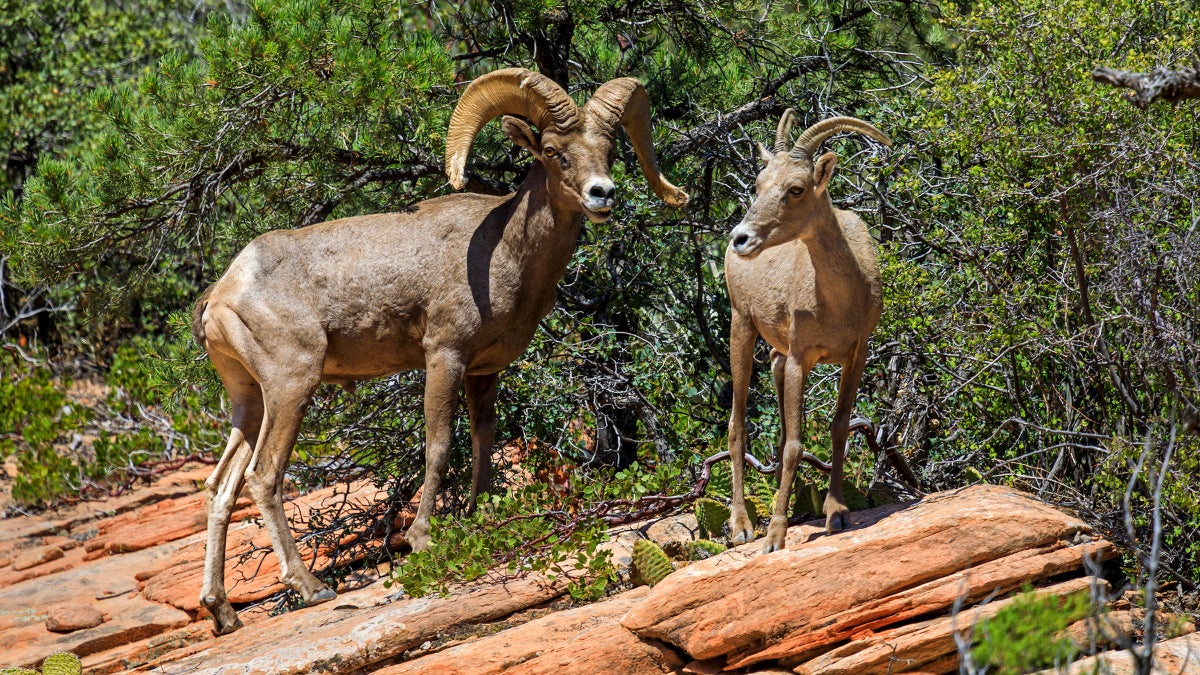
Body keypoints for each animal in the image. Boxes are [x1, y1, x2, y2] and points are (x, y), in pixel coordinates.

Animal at [190, 67, 688, 634]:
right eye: (554, 152)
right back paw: (312, 588)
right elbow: (439, 444)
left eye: (608, 150)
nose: (602, 194)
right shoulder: (443, 357)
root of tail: (222, 294)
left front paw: (484, 516)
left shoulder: (484, 372)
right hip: (292, 386)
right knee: (264, 477)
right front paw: (425, 538)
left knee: (220, 488)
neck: (507, 253)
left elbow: (483, 441)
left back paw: (223, 613)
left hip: (250, 403)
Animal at [723, 110, 891, 553]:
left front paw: (836, 514)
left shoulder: (855, 354)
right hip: (741, 325)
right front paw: (775, 536)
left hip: (778, 353)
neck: (840, 303)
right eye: (758, 183)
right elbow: (797, 445)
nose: (741, 238)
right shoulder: (803, 357)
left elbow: (838, 427)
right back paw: (741, 526)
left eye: (796, 189)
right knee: (737, 425)